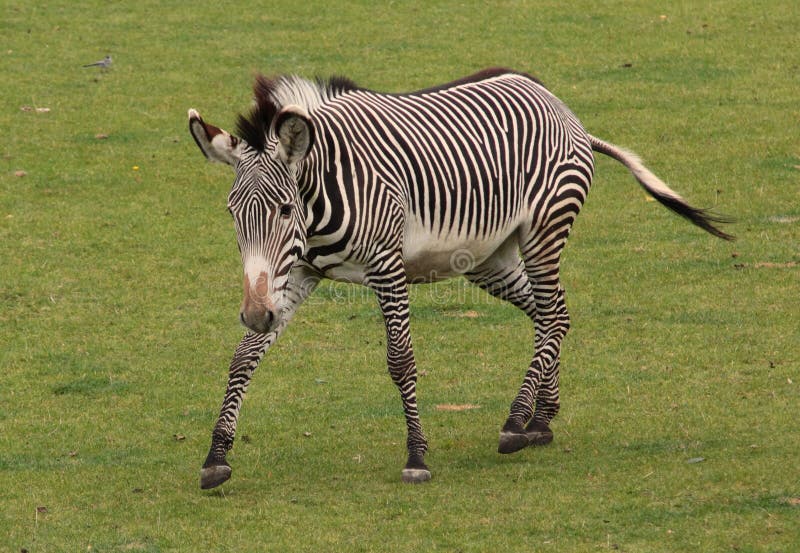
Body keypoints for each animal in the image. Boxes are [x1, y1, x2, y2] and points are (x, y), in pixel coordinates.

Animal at [187, 67, 732, 489]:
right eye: (233, 214)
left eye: (283, 210)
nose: (255, 314)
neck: (322, 199)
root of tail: (561, 107)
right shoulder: (296, 273)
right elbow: (243, 358)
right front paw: (216, 457)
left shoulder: (386, 266)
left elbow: (401, 362)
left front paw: (416, 456)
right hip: (489, 257)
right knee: (551, 316)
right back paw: (540, 420)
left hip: (545, 229)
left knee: (554, 315)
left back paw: (516, 422)